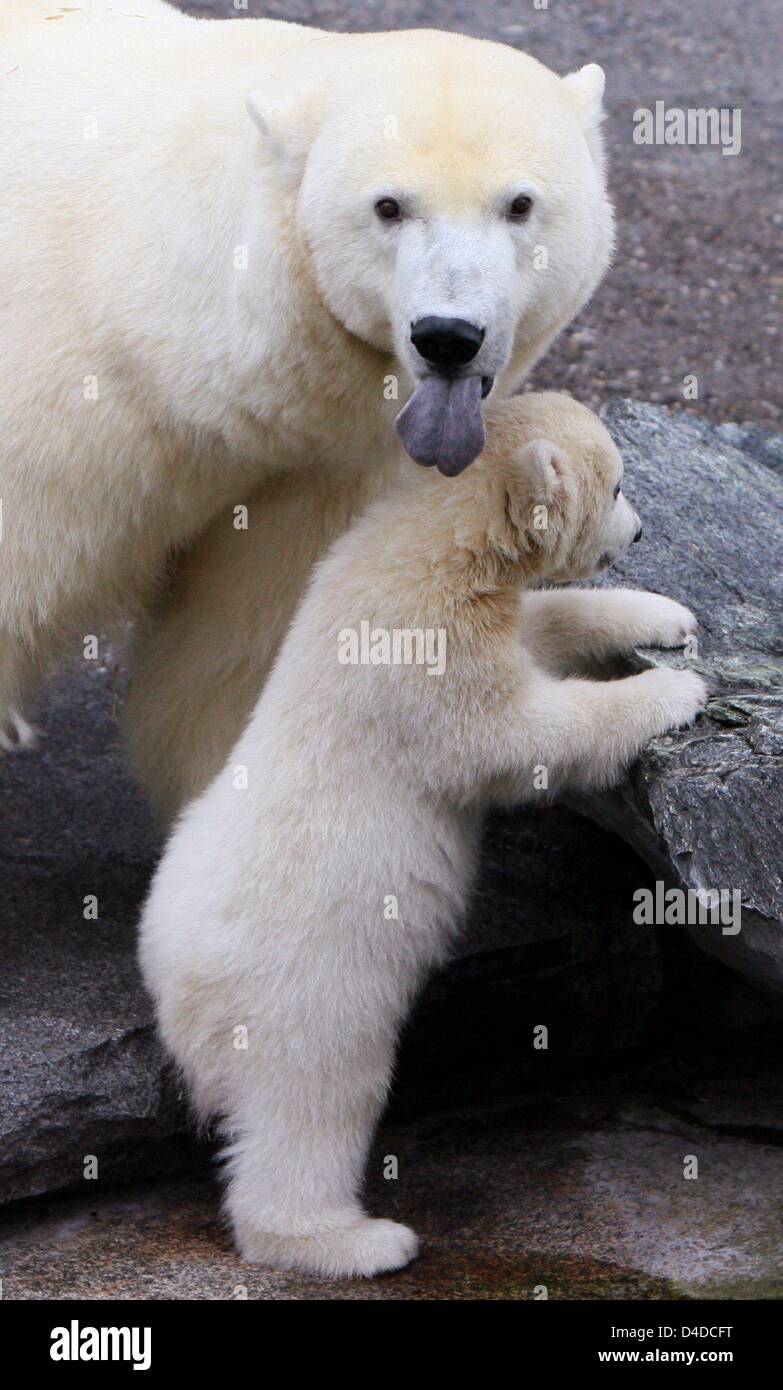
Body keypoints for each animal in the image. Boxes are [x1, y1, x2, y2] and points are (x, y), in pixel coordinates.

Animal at [0, 3, 613, 763]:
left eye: (520, 204)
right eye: (388, 206)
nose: (447, 335)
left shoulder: (315, 469)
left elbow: (240, 644)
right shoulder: (60, 423)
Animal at [138, 392, 707, 1278]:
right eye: (615, 486)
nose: (643, 531)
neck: (426, 540)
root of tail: (172, 982)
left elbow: (538, 626)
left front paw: (664, 615)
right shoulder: (419, 651)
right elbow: (516, 735)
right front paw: (674, 691)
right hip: (299, 983)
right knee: (315, 1099)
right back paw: (354, 1240)